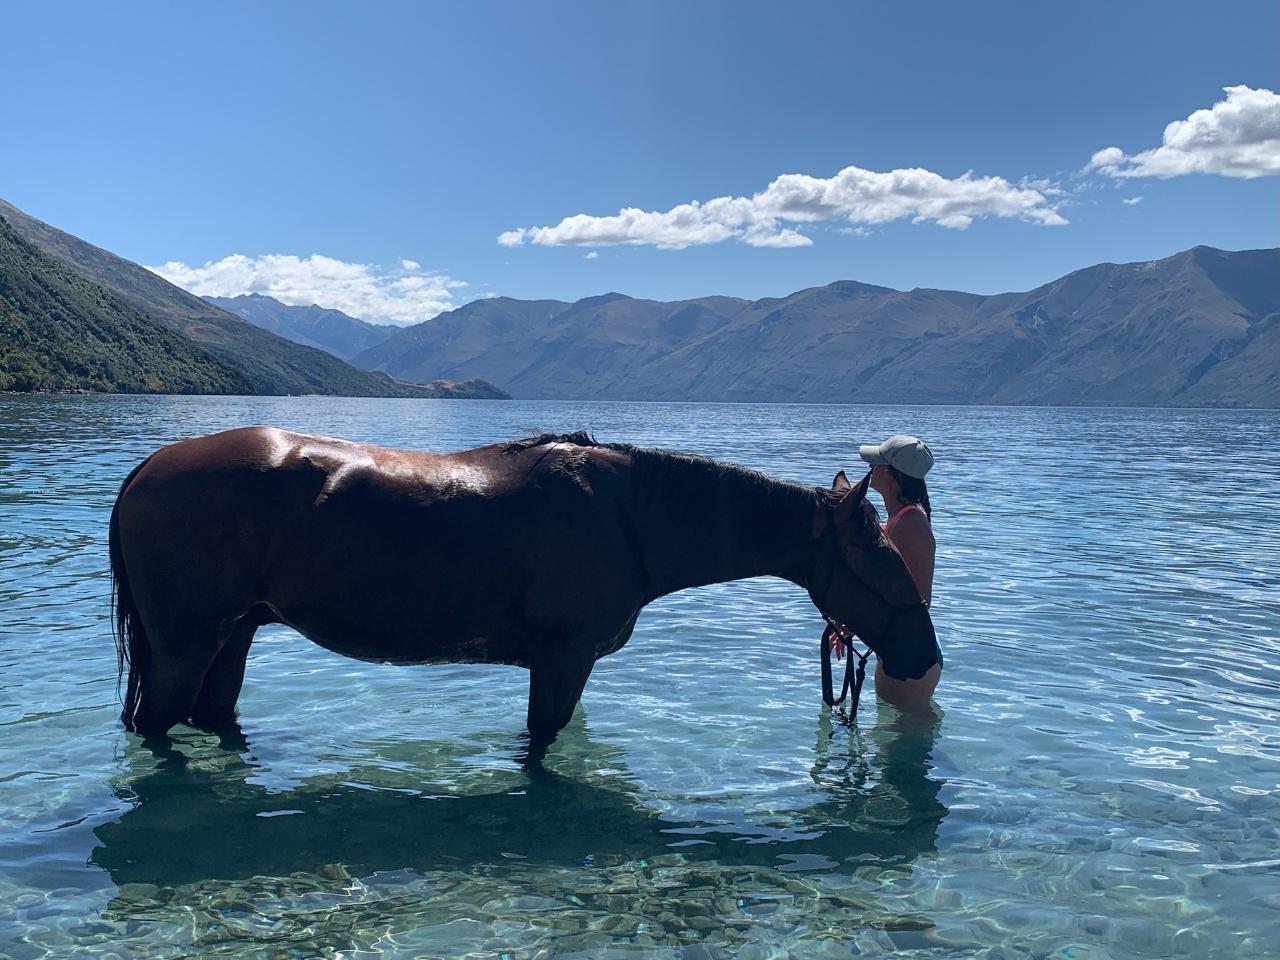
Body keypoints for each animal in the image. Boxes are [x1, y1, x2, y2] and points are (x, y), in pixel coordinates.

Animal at [109, 428, 938, 749]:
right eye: (881, 565)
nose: (924, 658)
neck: (630, 515)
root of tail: (148, 470)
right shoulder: (562, 660)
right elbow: (542, 746)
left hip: (236, 632)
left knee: (212, 717)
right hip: (185, 646)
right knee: (159, 727)